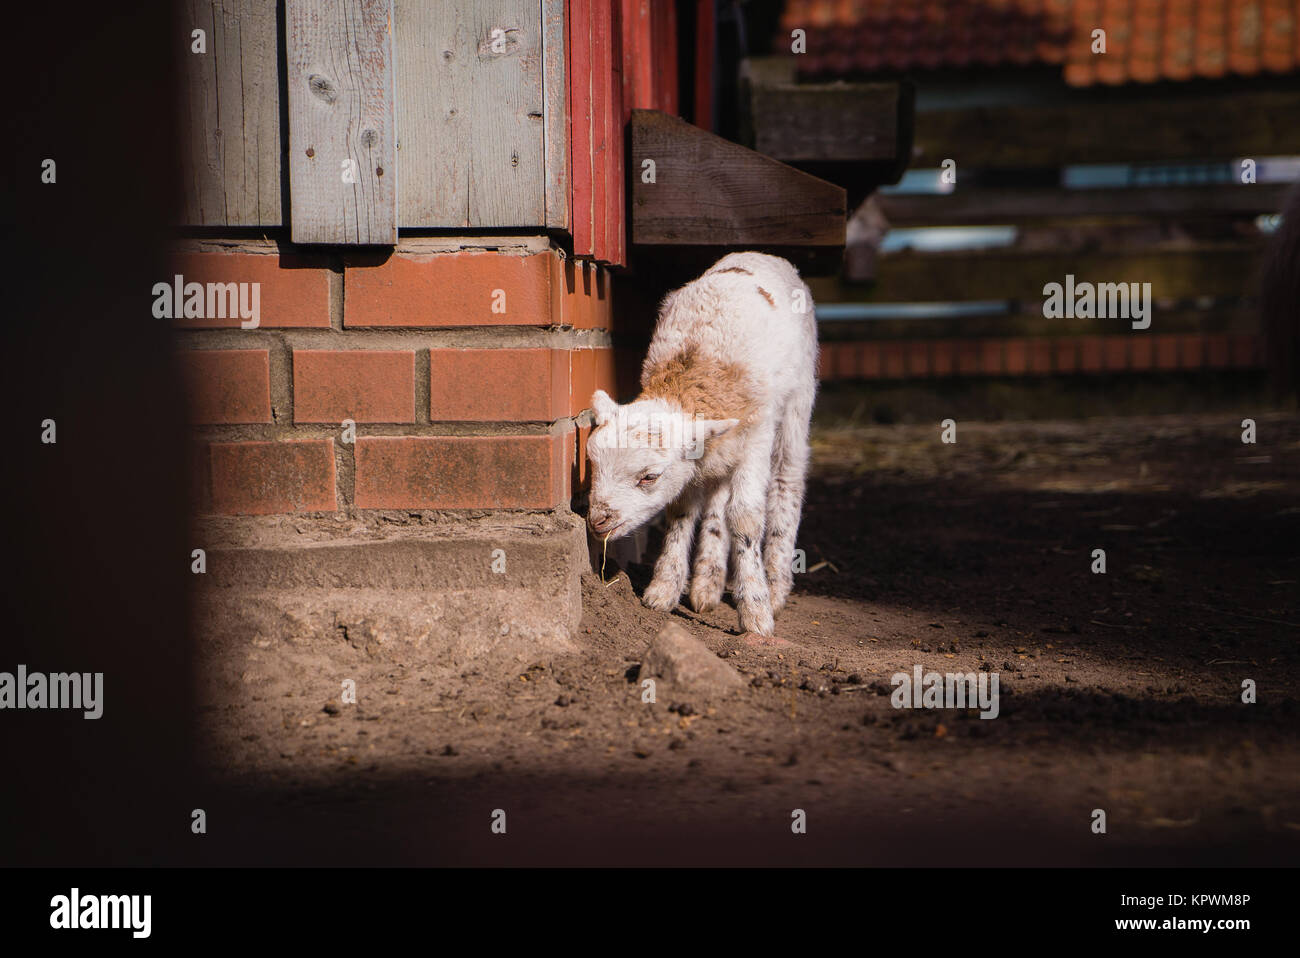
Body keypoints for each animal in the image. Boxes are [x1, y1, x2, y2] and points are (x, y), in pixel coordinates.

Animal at [585, 251, 817, 636]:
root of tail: (761, 254)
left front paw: (756, 610)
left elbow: (746, 517)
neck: (696, 365)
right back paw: (707, 582)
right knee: (716, 501)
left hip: (798, 398)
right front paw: (664, 588)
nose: (598, 521)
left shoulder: (756, 437)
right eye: (592, 464)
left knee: (788, 478)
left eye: (649, 477)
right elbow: (681, 511)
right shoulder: (694, 460)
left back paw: (776, 583)